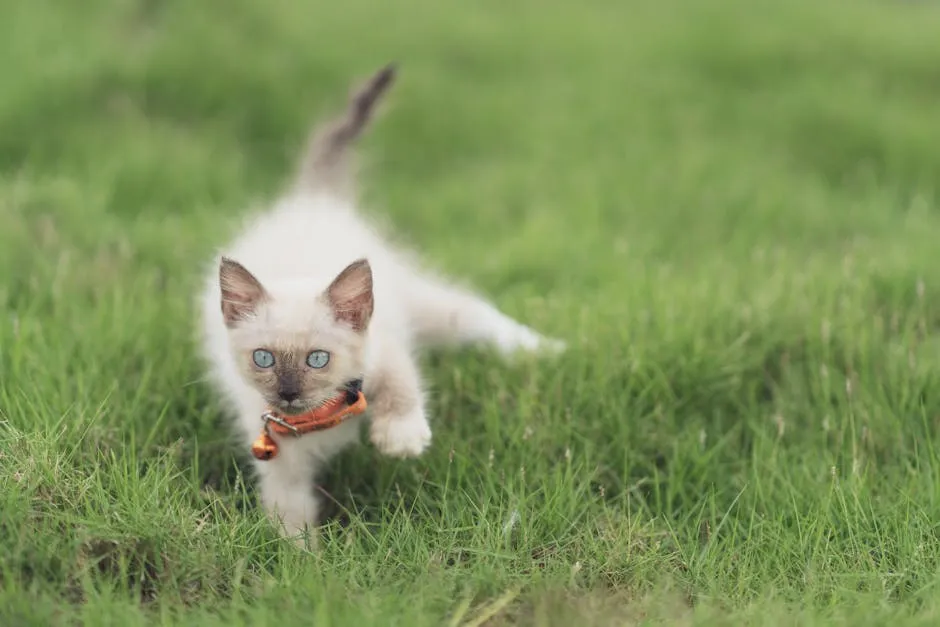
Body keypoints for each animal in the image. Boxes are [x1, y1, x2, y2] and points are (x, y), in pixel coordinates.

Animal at [197, 65, 560, 544]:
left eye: (317, 359)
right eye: (263, 358)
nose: (288, 393)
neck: (320, 419)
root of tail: (310, 200)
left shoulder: (384, 349)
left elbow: (402, 382)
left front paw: (401, 439)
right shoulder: (280, 466)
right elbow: (290, 518)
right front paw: (305, 559)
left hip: (428, 307)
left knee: (474, 312)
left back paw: (546, 350)